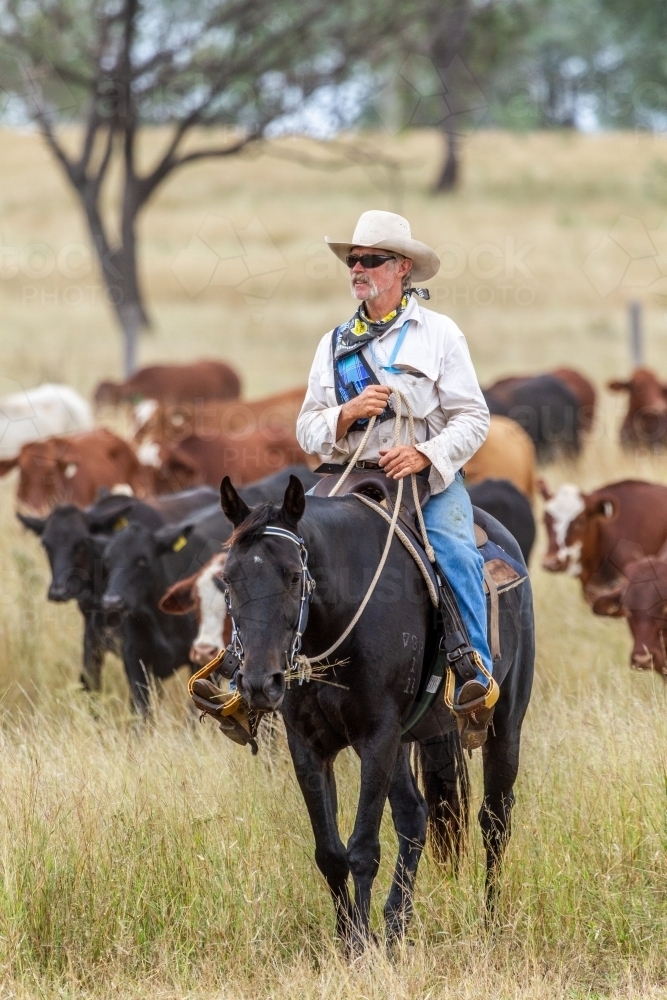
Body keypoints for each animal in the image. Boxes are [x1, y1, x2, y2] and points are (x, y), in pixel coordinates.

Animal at [219, 474, 535, 950]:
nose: (259, 682)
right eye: (228, 579)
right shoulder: (308, 745)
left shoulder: (377, 738)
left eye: (294, 576)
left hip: (504, 725)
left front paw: (359, 946)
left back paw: (490, 921)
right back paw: (396, 922)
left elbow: (363, 849)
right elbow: (330, 852)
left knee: (494, 819)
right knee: (415, 816)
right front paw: (350, 937)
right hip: (409, 741)